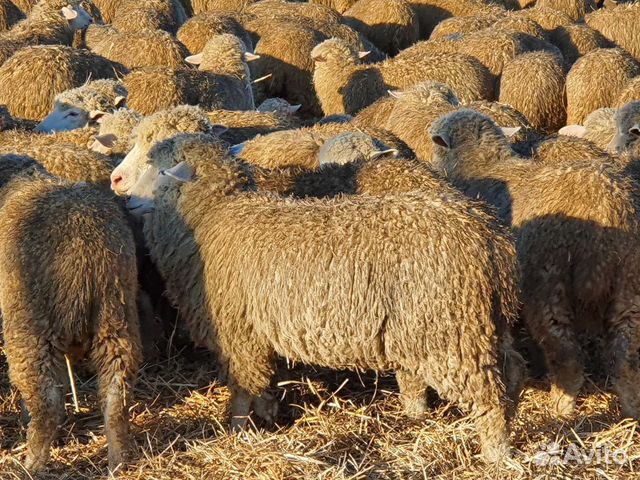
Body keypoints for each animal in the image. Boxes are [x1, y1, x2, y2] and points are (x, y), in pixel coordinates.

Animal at [0, 157, 141, 473]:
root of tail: (84, 243)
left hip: (30, 321)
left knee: (47, 401)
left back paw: (29, 465)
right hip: (115, 313)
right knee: (116, 392)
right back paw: (118, 461)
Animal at [126, 131, 523, 463]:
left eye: (159, 170)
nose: (126, 200)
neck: (213, 215)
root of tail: (487, 236)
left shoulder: (239, 334)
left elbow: (242, 389)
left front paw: (237, 433)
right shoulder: (258, 335)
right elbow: (264, 386)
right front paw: (270, 419)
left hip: (448, 331)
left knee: (487, 393)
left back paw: (496, 452)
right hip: (473, 321)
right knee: (511, 369)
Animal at [429, 109, 640, 418]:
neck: (483, 166)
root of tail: (605, 208)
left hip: (548, 286)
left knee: (566, 357)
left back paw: (561, 409)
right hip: (629, 285)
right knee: (625, 357)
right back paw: (631, 408)